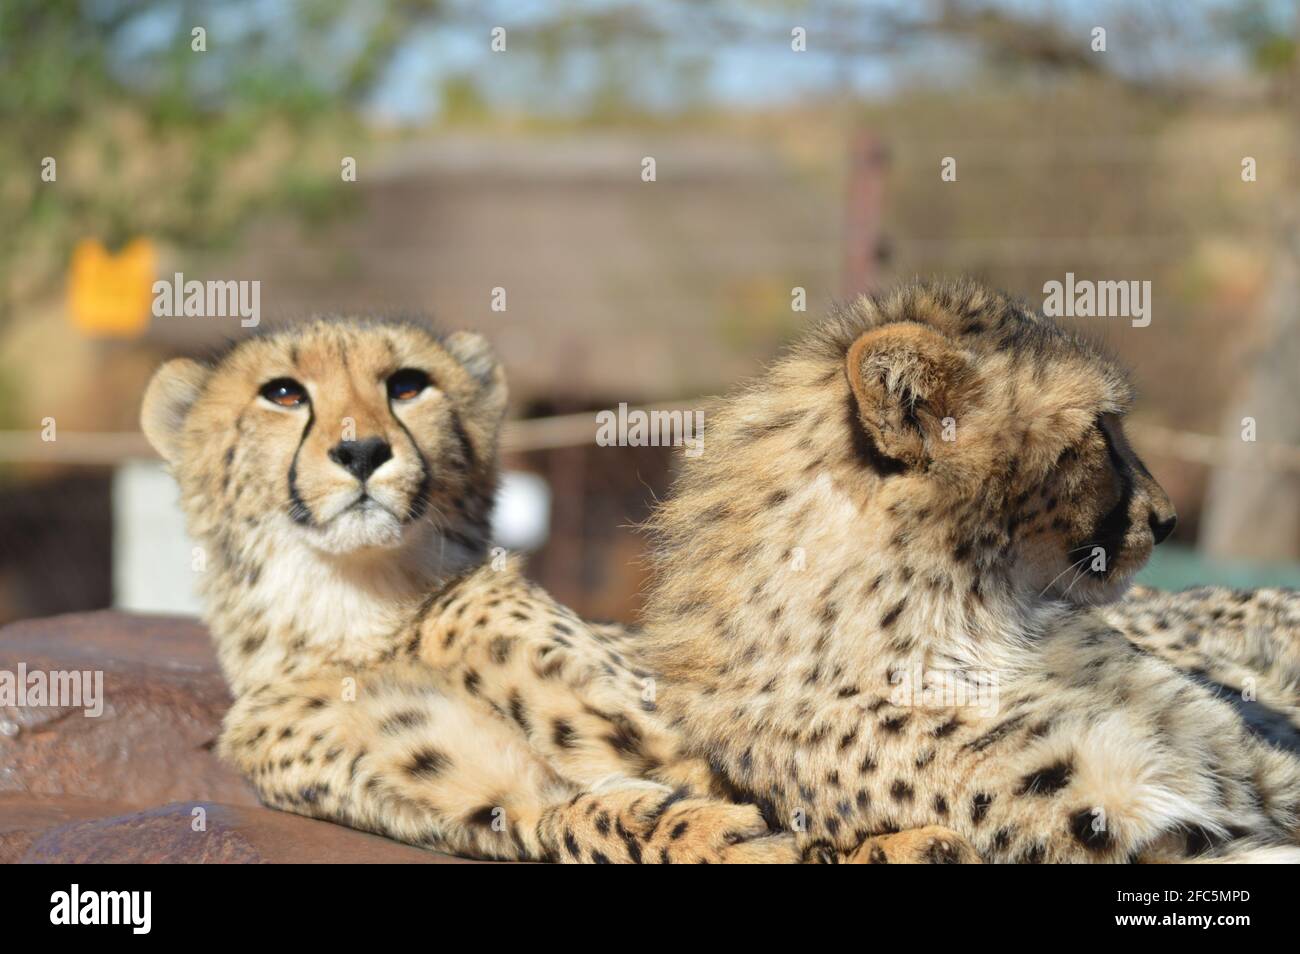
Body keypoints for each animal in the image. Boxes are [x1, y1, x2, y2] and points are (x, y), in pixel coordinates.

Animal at [139, 316, 969, 863]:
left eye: (407, 384)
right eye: (282, 393)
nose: (362, 450)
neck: (359, 609)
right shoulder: (484, 801)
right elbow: (575, 816)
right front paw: (712, 835)